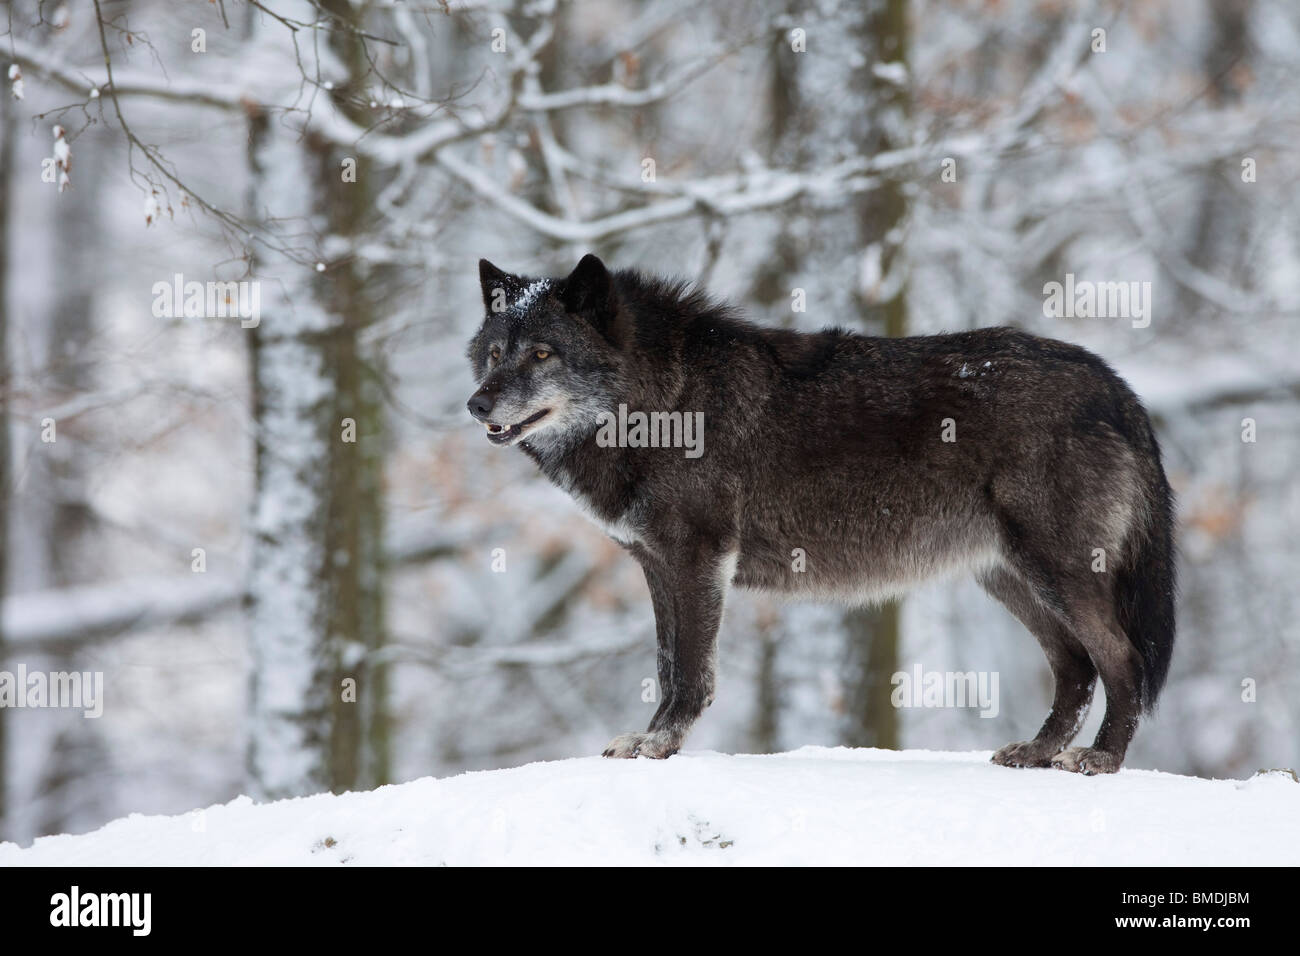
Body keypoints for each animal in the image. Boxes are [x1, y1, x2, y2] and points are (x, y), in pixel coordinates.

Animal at [466, 254, 1176, 774]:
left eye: (542, 354)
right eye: (496, 353)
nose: (476, 404)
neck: (659, 404)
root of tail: (1115, 383)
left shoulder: (697, 558)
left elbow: (688, 672)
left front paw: (658, 746)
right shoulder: (657, 564)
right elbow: (668, 665)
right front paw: (652, 741)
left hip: (1055, 571)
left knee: (1121, 659)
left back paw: (1100, 758)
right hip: (1011, 578)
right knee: (1076, 667)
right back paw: (1038, 752)